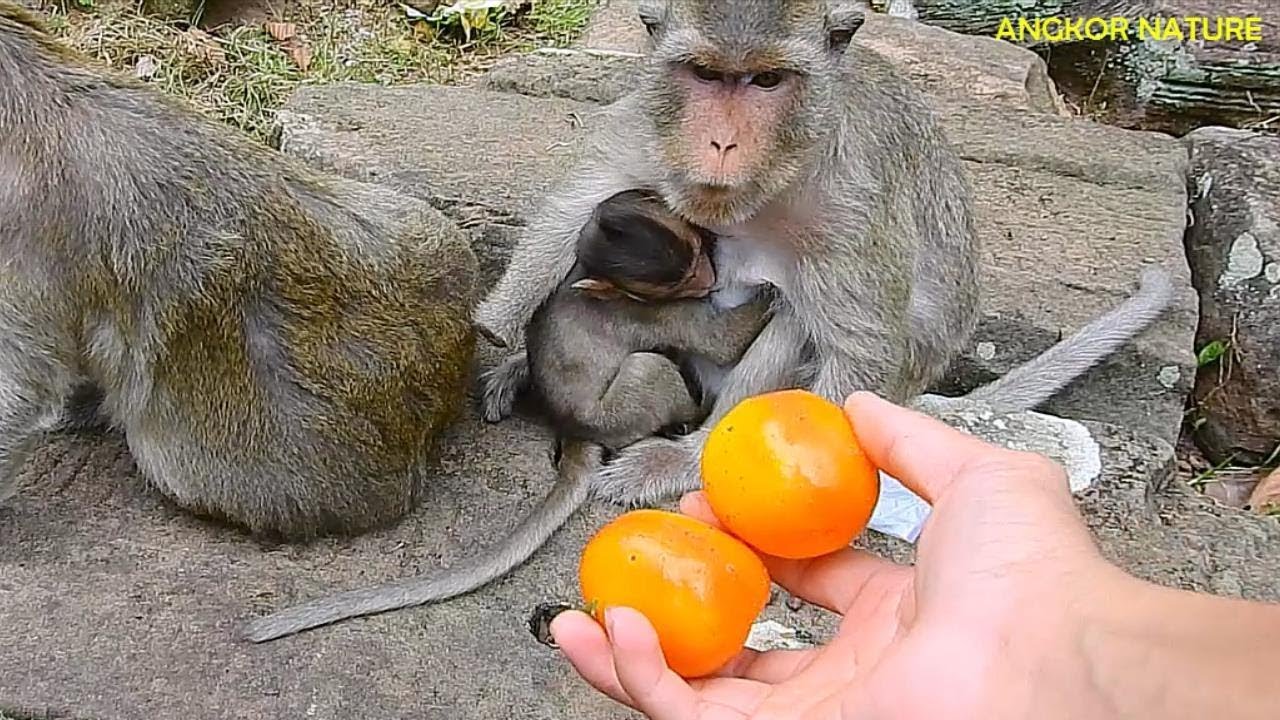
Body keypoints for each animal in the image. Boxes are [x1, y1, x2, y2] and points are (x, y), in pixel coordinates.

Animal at [239, 188, 773, 643]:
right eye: (683, 277)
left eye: (698, 254)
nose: (709, 280)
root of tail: (571, 429)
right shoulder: (657, 311)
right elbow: (720, 341)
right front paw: (770, 295)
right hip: (620, 411)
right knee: (648, 367)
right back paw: (687, 412)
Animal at [471, 0, 1177, 510]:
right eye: (705, 74)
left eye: (767, 80)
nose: (721, 143)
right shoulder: (647, 126)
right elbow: (579, 208)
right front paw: (504, 334)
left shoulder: (848, 203)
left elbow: (862, 354)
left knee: (798, 322)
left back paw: (690, 454)